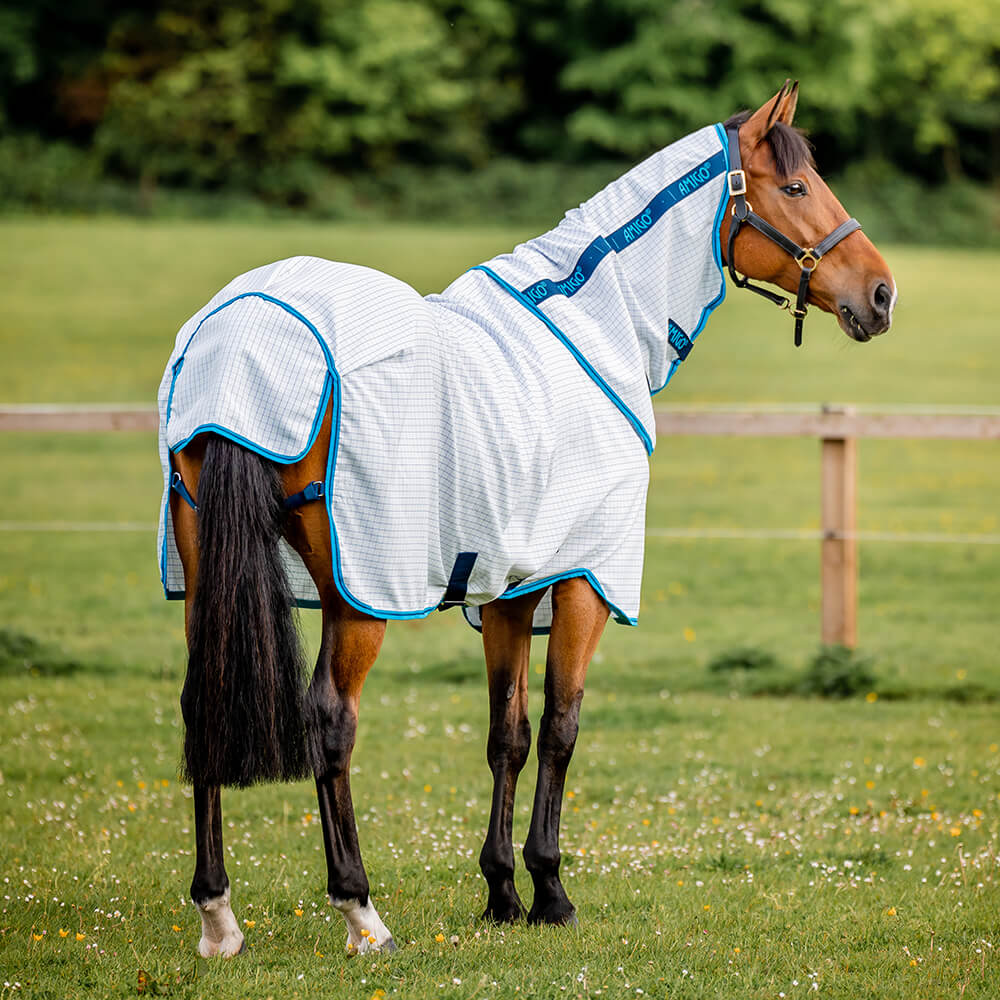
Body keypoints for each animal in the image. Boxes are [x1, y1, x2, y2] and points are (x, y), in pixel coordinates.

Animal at [156, 82, 896, 957]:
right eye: (795, 187)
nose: (881, 293)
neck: (594, 330)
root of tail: (243, 336)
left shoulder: (510, 589)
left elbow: (505, 734)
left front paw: (502, 892)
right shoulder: (585, 582)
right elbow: (560, 727)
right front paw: (550, 890)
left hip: (210, 574)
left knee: (203, 703)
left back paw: (218, 916)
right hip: (358, 593)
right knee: (331, 721)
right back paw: (360, 912)